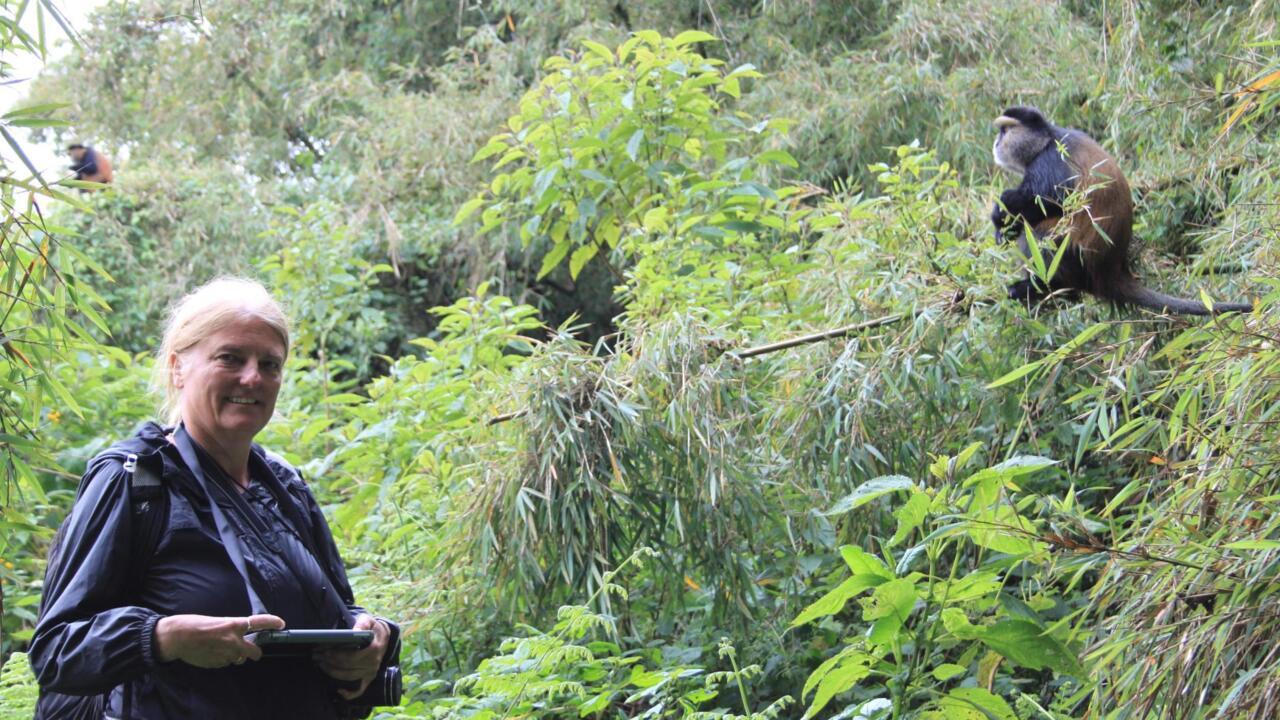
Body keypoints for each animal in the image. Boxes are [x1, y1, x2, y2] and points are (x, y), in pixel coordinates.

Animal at [990, 106, 1251, 315]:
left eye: (1004, 131)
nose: (996, 143)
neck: (1047, 139)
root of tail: (1111, 272)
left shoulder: (1050, 161)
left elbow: (1045, 202)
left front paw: (999, 216)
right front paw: (1003, 231)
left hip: (1074, 257)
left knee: (1040, 234)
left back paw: (1045, 286)